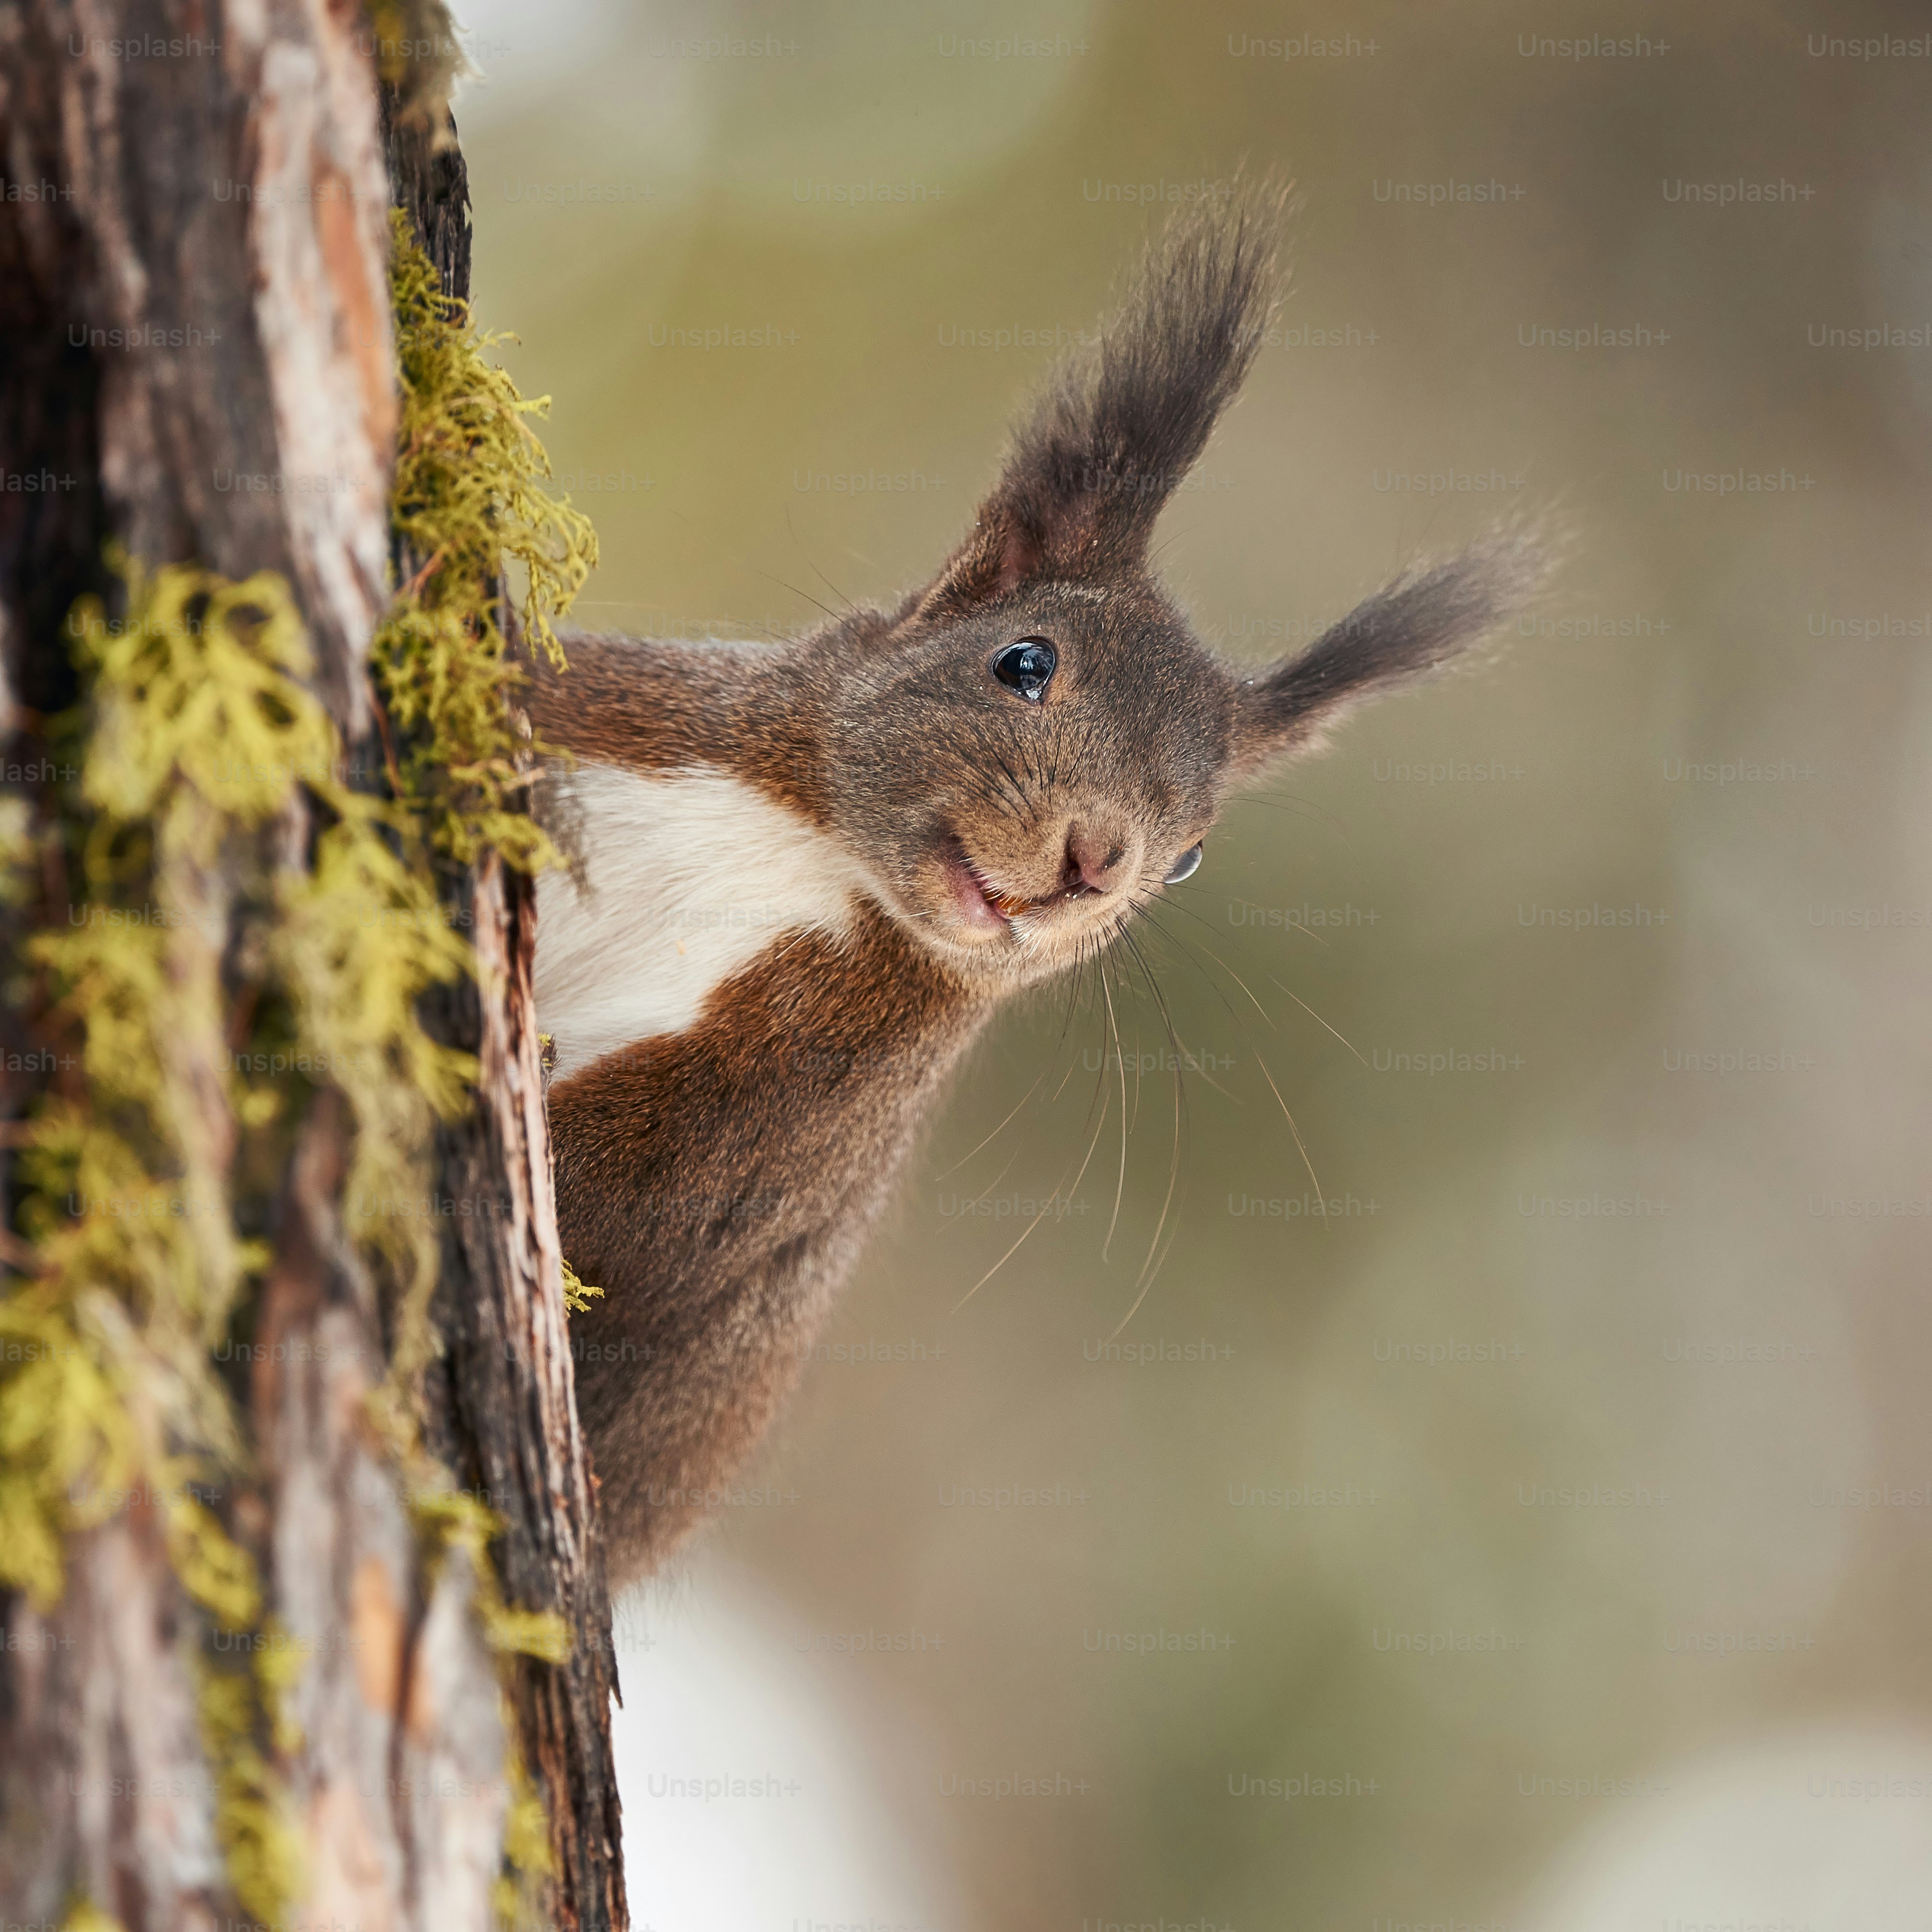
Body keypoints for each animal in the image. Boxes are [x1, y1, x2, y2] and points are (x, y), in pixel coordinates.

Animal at [524, 184, 1544, 1589]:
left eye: (1193, 852)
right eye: (1023, 662)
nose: (1092, 864)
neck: (808, 852)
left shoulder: (790, 1122)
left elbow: (644, 1217)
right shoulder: (603, 710)